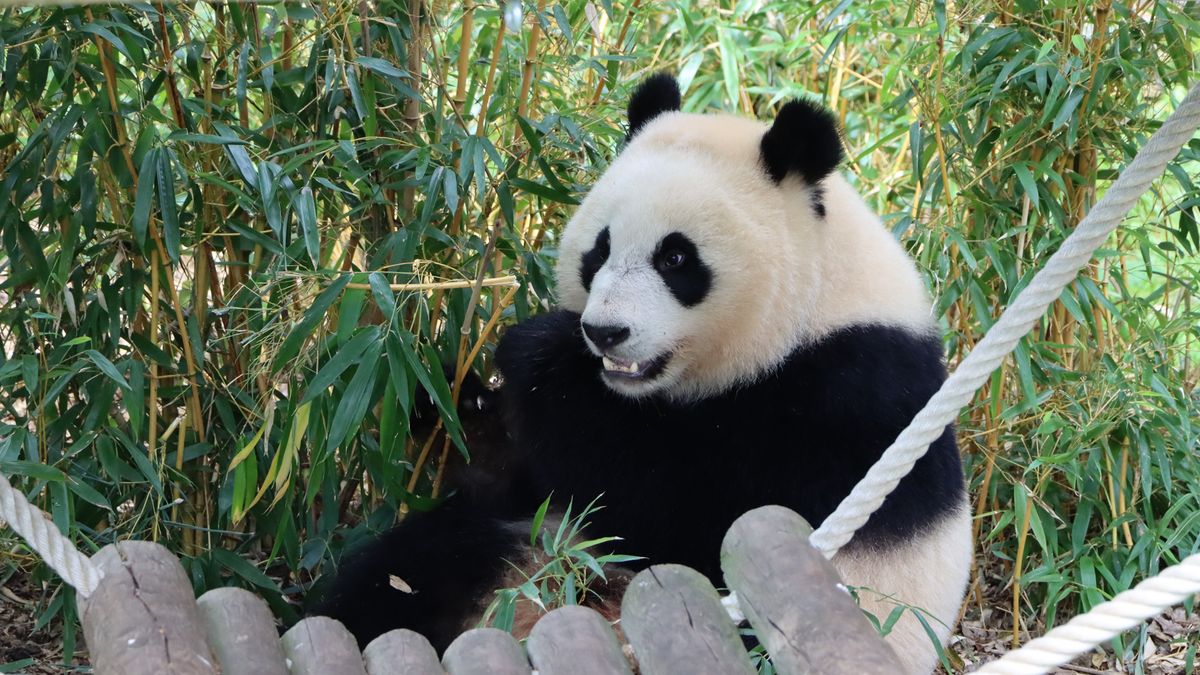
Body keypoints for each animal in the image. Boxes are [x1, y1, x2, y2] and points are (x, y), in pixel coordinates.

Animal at [314, 73, 971, 675]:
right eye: (599, 250)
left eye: (675, 257)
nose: (604, 332)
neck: (818, 306)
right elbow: (526, 480)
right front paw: (452, 396)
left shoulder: (838, 401)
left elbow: (664, 502)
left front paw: (537, 352)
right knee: (409, 576)